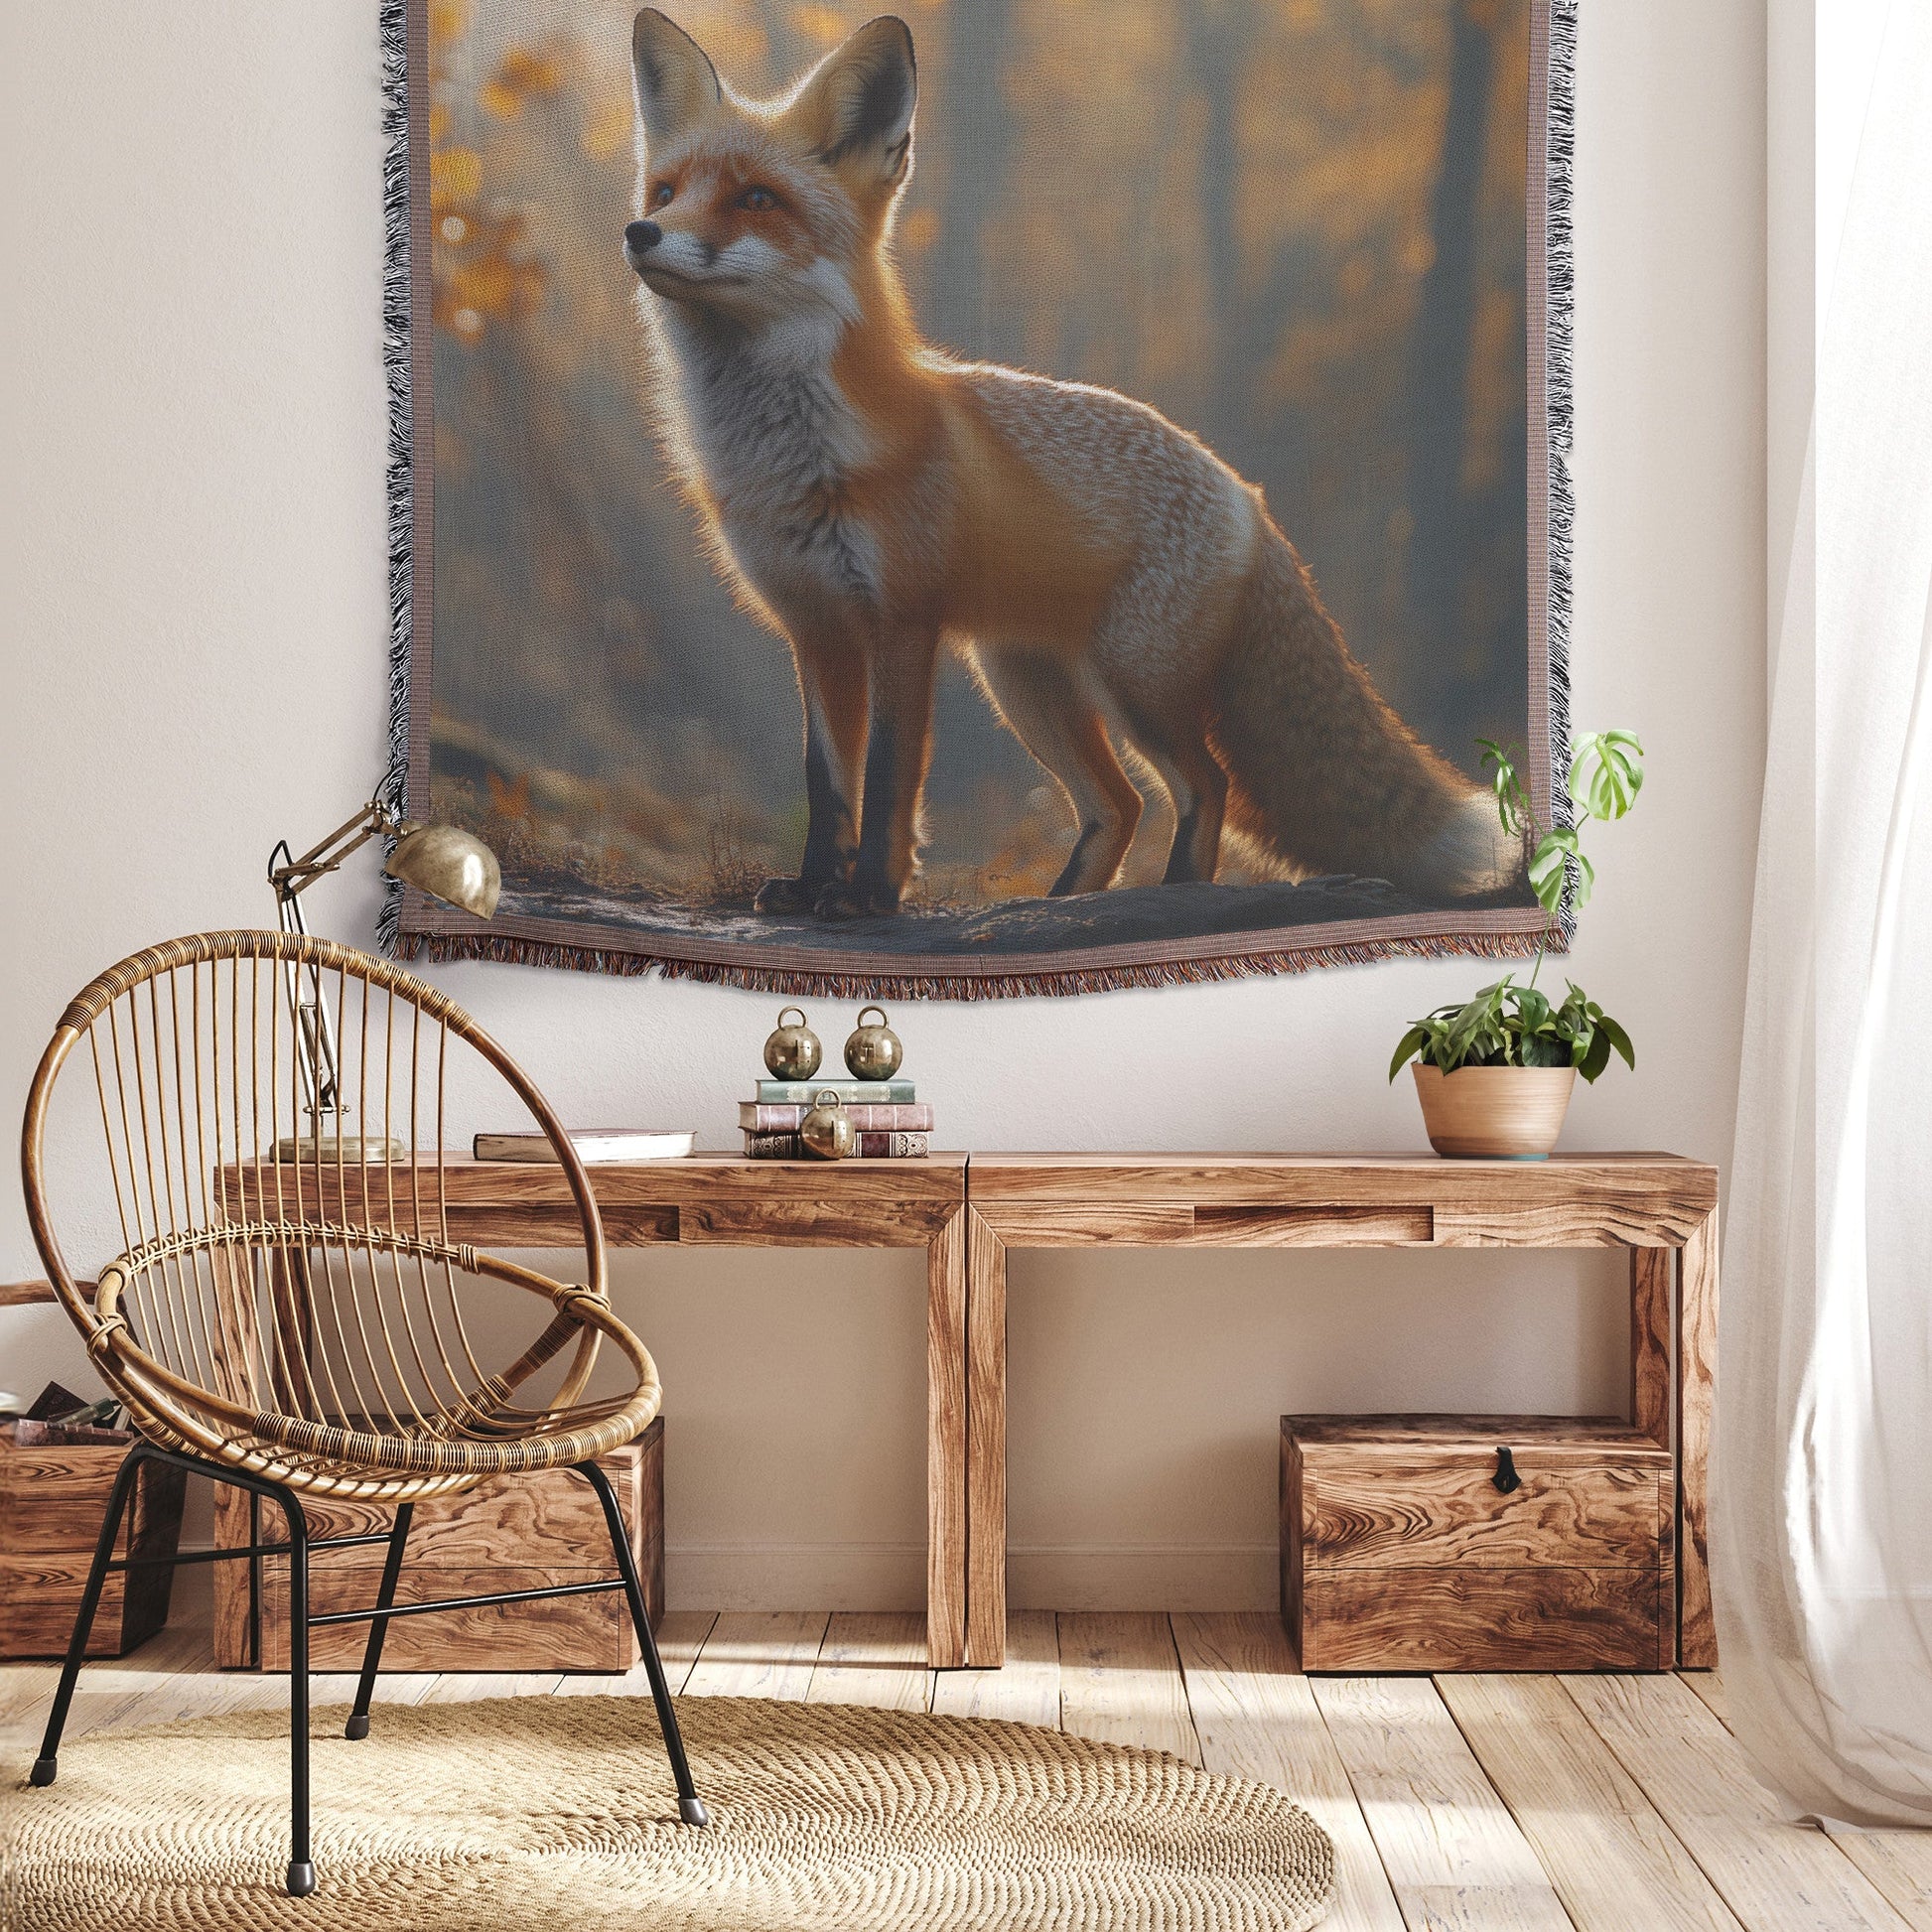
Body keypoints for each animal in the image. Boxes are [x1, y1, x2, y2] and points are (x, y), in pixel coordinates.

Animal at [623, 9, 1517, 919]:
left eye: (755, 199)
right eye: (665, 192)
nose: (640, 232)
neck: (787, 455)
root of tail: (1246, 494)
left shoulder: (903, 621)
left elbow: (889, 778)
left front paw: (869, 896)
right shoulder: (817, 629)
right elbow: (827, 782)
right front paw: (812, 889)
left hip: (1133, 684)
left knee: (1206, 786)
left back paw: (1173, 904)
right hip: (1026, 685)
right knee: (1118, 805)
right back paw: (1058, 905)